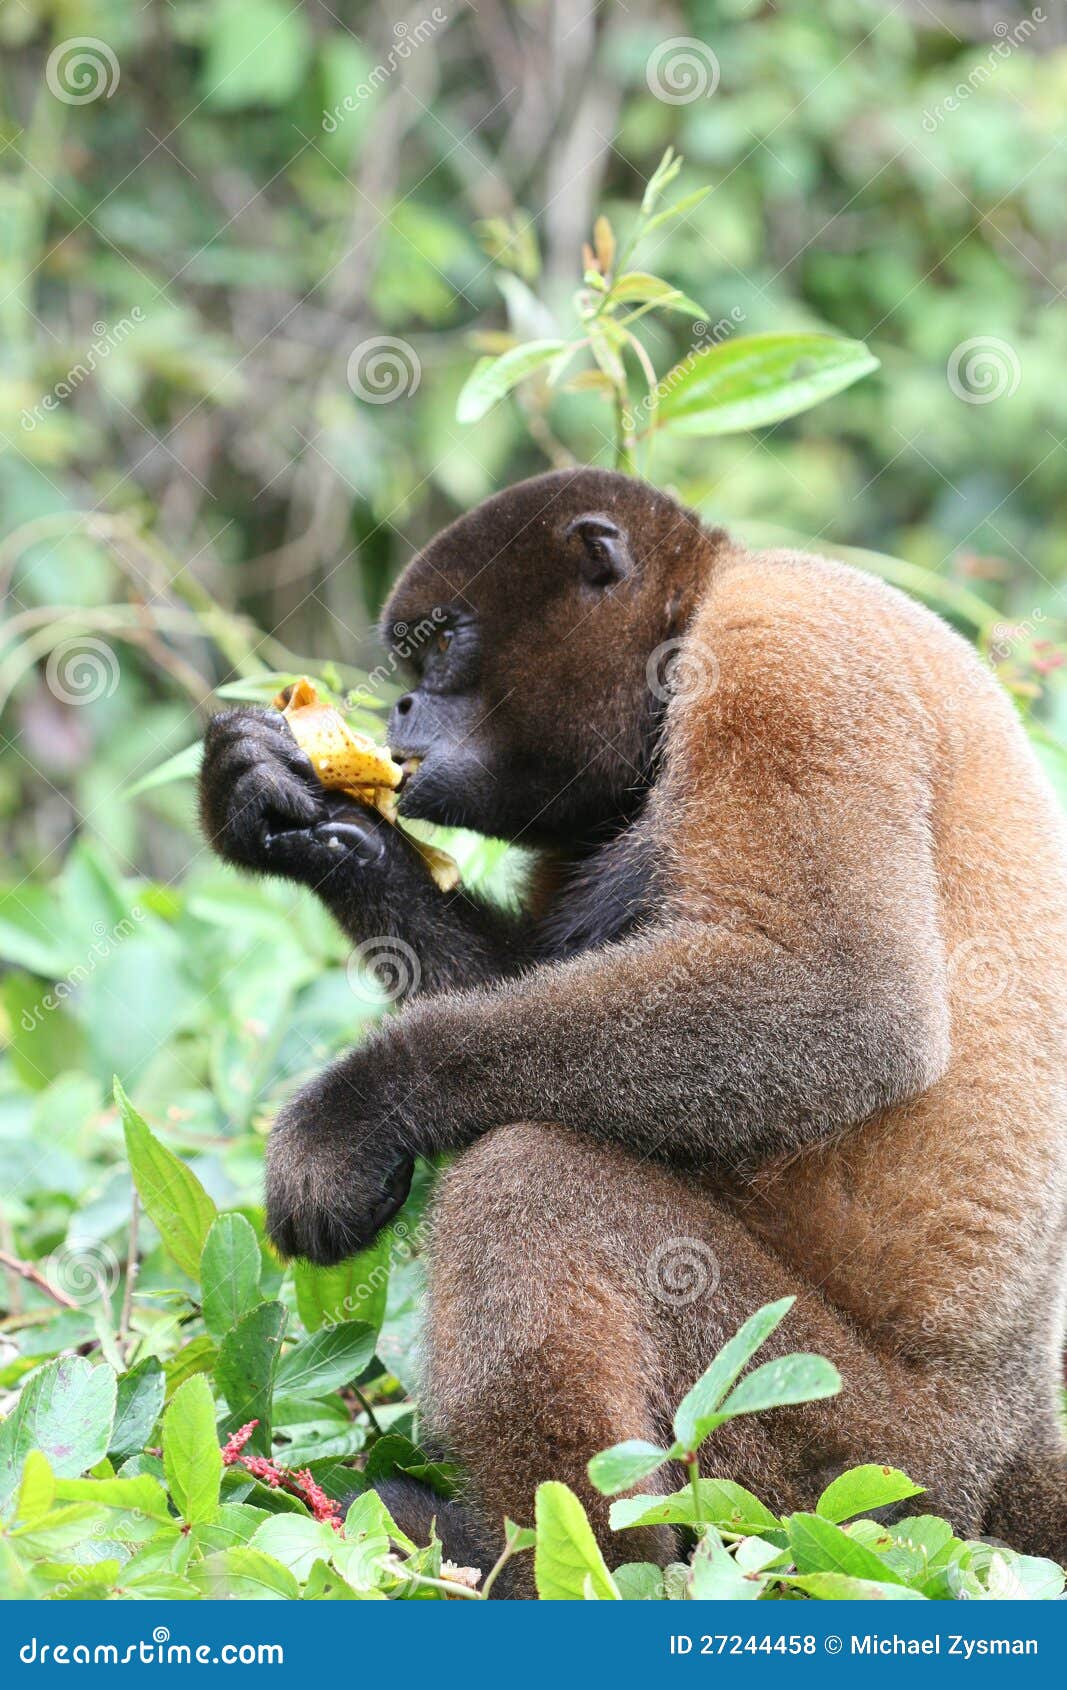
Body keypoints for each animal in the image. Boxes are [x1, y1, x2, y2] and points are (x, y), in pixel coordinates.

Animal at [199, 467, 1067, 1589]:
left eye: (442, 645)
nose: (396, 703)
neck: (692, 614)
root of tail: (1008, 1438)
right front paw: (286, 809)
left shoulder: (781, 655)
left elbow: (845, 997)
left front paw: (352, 1113)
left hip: (841, 1448)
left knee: (527, 1182)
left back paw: (529, 1560)